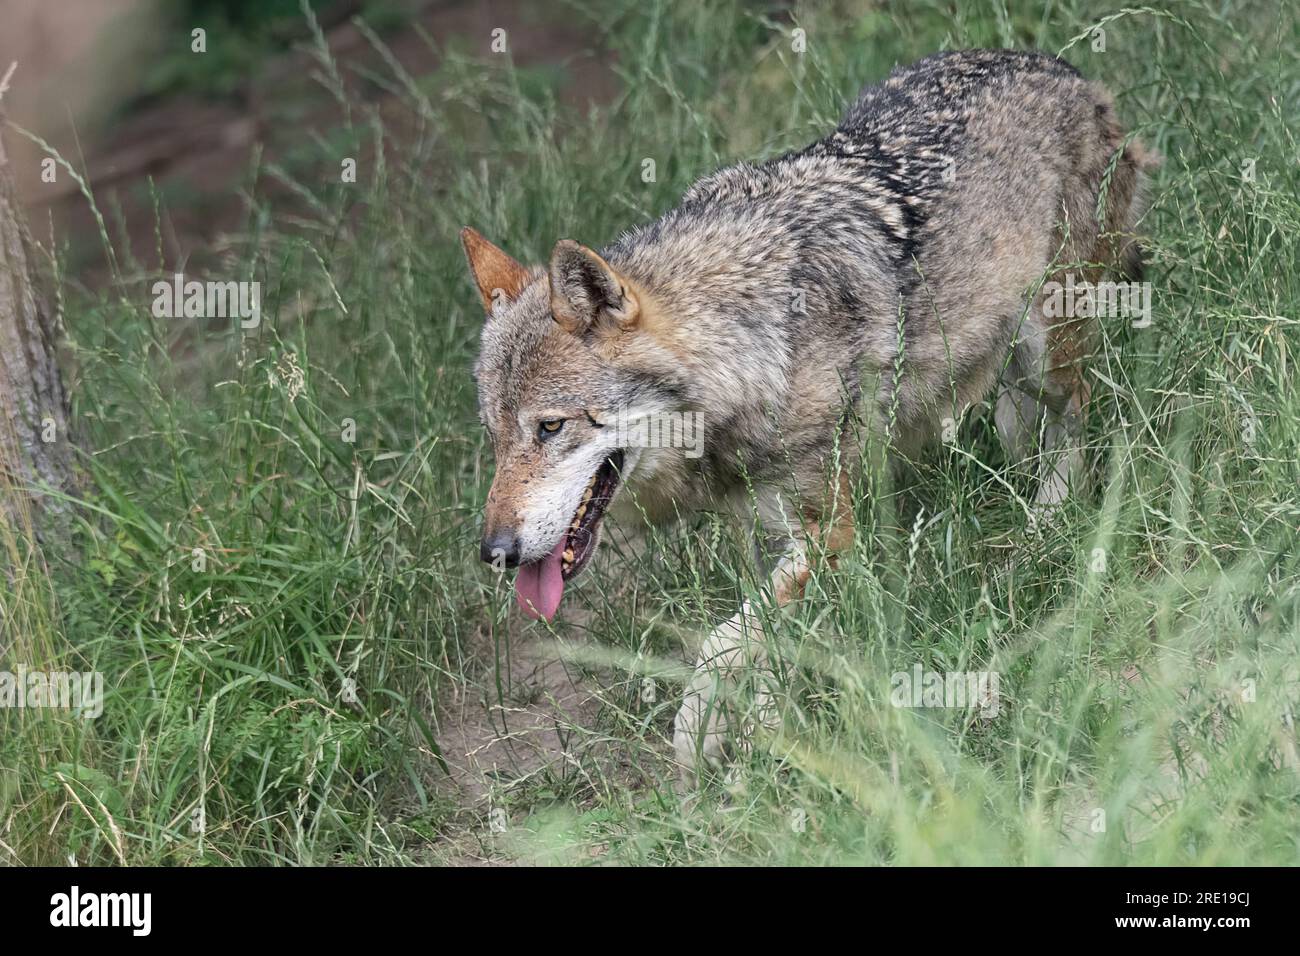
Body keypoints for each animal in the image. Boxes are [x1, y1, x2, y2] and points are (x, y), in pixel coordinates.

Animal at [464, 49, 1154, 774]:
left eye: (550, 427)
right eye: (495, 437)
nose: (495, 552)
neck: (750, 344)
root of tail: (1062, 68)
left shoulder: (831, 531)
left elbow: (721, 643)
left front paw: (699, 736)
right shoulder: (772, 529)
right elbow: (765, 641)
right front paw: (759, 733)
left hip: (1051, 350)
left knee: (1078, 417)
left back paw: (1048, 525)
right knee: (1022, 424)